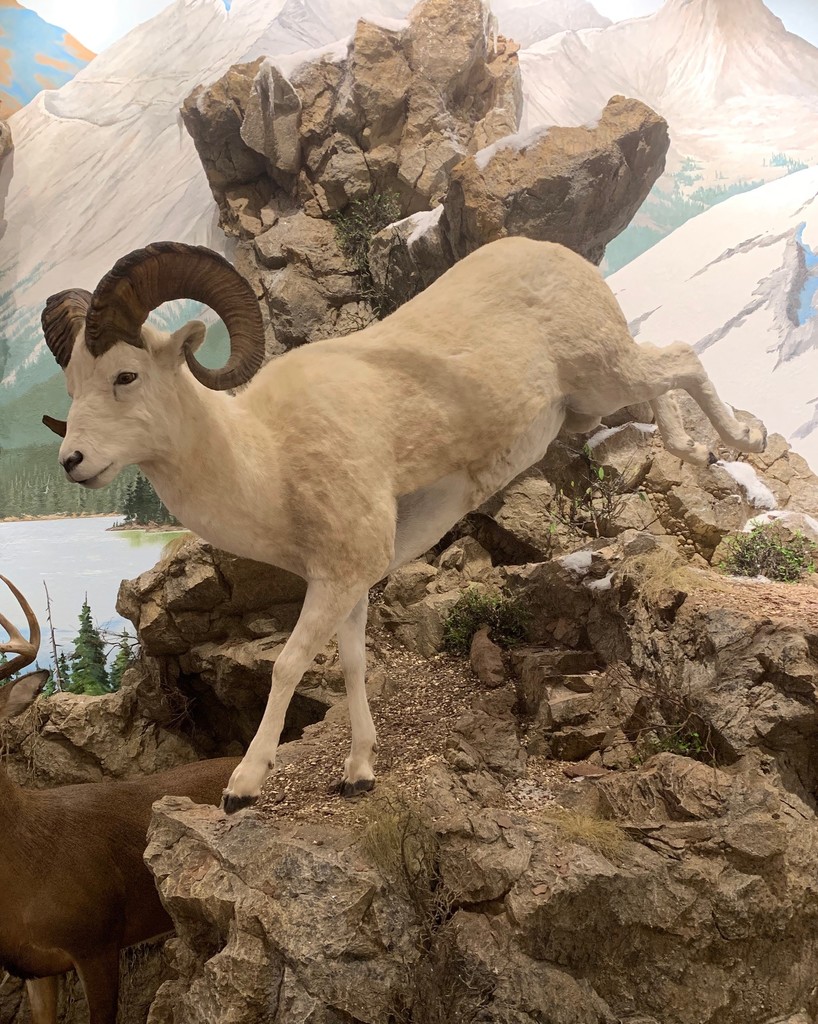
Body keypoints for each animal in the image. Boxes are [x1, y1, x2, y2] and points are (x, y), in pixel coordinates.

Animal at [40, 235, 767, 812]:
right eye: (72, 386)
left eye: (126, 376)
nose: (72, 462)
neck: (266, 457)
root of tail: (557, 254)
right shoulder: (348, 581)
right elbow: (354, 663)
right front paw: (359, 773)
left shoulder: (337, 577)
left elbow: (289, 665)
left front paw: (243, 787)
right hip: (596, 394)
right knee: (665, 378)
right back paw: (697, 451)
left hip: (605, 371)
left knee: (680, 359)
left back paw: (739, 441)